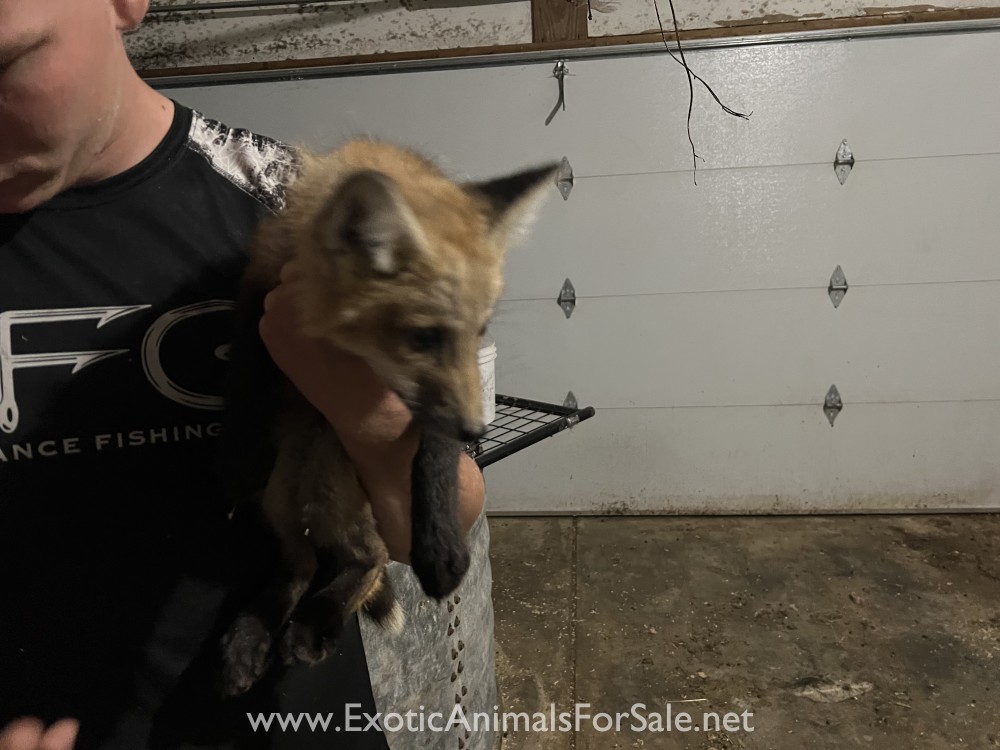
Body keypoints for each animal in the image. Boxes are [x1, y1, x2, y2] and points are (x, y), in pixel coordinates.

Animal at [215, 139, 559, 697]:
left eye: (480, 330)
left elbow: (434, 452)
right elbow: (244, 370)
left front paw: (438, 543)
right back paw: (254, 633)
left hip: (332, 477)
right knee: (300, 564)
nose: (476, 431)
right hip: (284, 488)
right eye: (423, 337)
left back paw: (314, 622)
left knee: (366, 558)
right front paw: (238, 460)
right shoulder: (260, 284)